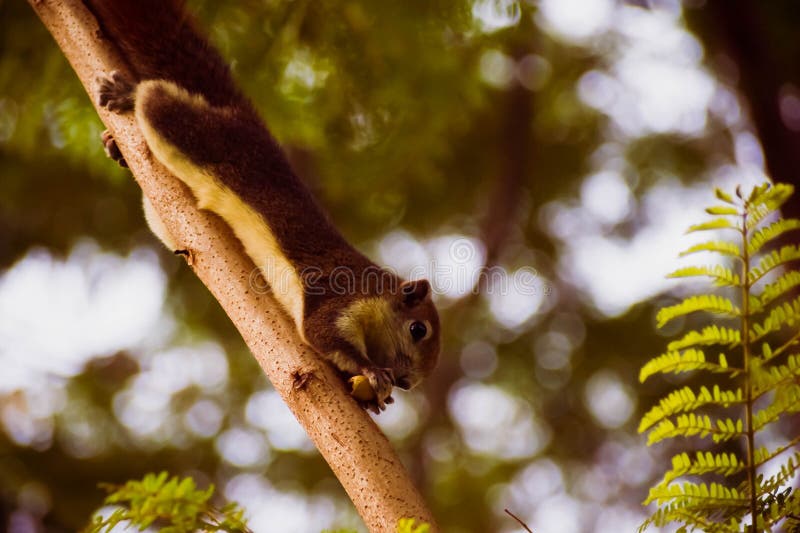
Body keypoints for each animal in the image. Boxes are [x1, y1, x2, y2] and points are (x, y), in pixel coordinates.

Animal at [86, 0, 440, 413]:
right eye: (418, 329)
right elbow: (320, 333)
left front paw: (372, 399)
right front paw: (371, 371)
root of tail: (244, 117)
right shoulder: (339, 294)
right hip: (202, 137)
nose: (405, 382)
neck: (376, 292)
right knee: (158, 100)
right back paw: (126, 93)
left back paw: (117, 146)